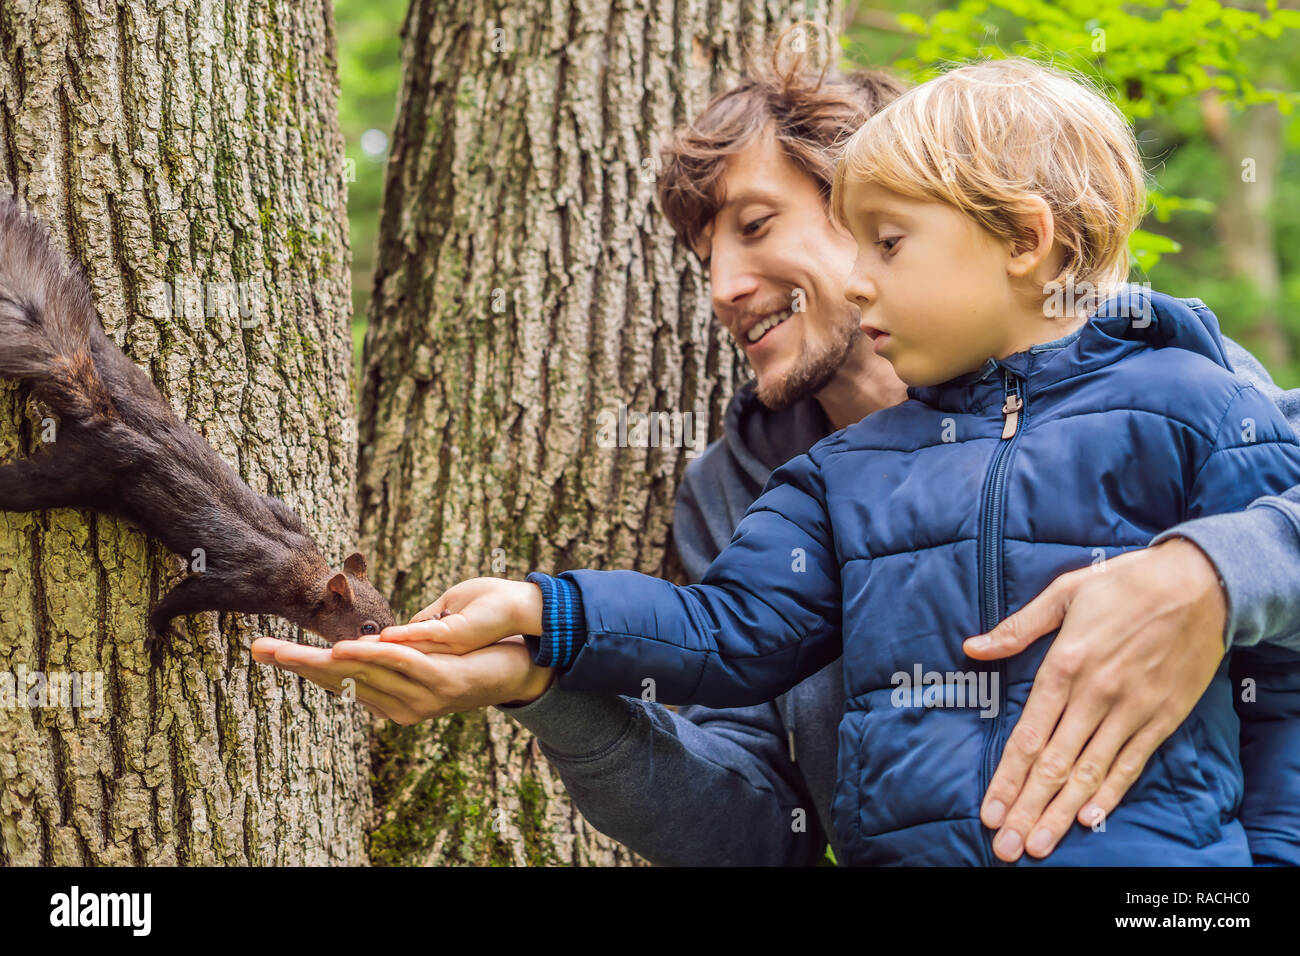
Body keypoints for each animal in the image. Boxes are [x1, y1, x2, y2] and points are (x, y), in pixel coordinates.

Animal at [0, 195, 394, 654]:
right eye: (367, 626)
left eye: (389, 610)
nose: (392, 632)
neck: (304, 568)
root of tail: (105, 414)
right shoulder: (241, 583)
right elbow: (184, 596)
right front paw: (158, 629)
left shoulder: (290, 521)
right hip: (77, 472)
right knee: (22, 485)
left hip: (120, 372)